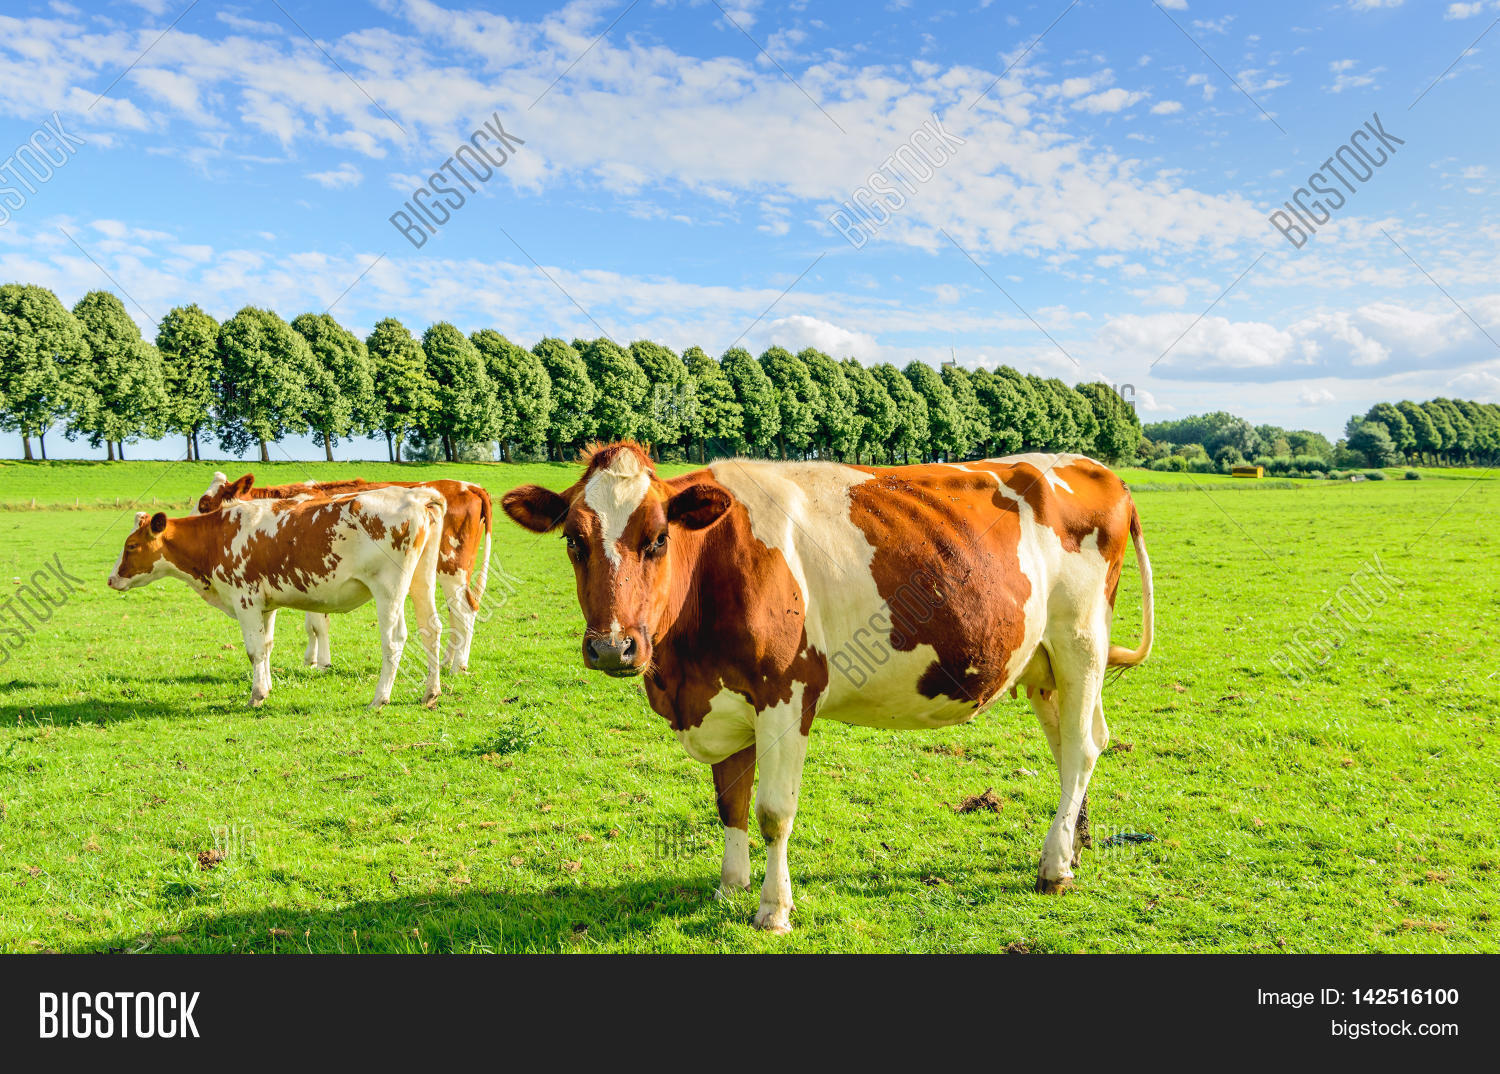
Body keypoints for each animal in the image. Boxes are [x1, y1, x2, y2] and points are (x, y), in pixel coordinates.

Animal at [108, 486, 447, 709]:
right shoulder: (265, 605)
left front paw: (256, 696)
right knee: (431, 629)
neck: (217, 536)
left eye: (131, 546)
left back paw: (380, 698)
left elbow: (254, 650)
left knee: (394, 640)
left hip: (389, 590)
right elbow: (267, 646)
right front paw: (267, 687)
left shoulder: (245, 600)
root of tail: (415, 495)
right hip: (422, 580)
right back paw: (430, 693)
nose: (111, 579)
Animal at [197, 473, 492, 673]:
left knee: (465, 611)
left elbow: (317, 624)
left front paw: (322, 663)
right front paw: (311, 659)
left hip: (452, 568)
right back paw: (447, 661)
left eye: (203, 506)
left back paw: (458, 666)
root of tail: (471, 486)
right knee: (456, 613)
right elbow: (312, 624)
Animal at [501, 442, 1154, 933]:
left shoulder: (786, 693)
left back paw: (1054, 869)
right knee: (1071, 748)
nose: (613, 647)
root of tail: (1095, 468)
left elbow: (772, 811)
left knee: (1082, 747)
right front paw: (729, 887)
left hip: (1081, 642)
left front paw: (772, 909)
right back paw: (1071, 848)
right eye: (573, 541)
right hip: (1041, 662)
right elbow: (729, 801)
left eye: (658, 539)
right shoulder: (723, 699)